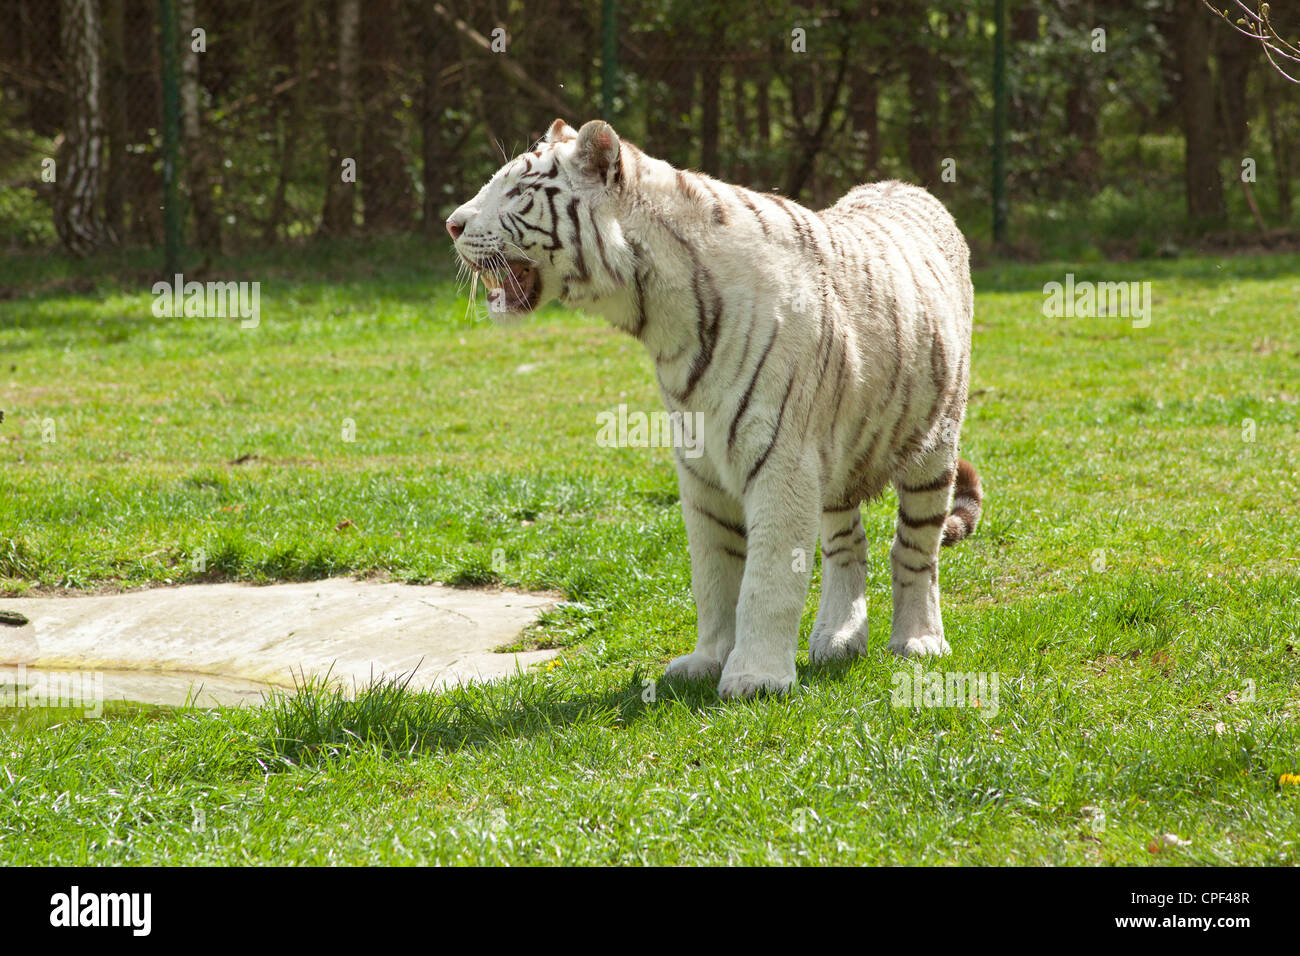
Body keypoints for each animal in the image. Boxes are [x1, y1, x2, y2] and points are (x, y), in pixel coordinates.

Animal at [447, 118, 982, 699]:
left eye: (517, 191)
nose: (451, 224)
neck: (659, 320)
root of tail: (907, 186)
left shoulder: (782, 462)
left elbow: (767, 580)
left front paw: (755, 677)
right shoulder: (701, 466)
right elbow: (714, 573)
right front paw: (707, 660)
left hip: (934, 447)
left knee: (915, 549)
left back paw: (918, 640)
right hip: (841, 452)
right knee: (847, 543)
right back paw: (837, 637)